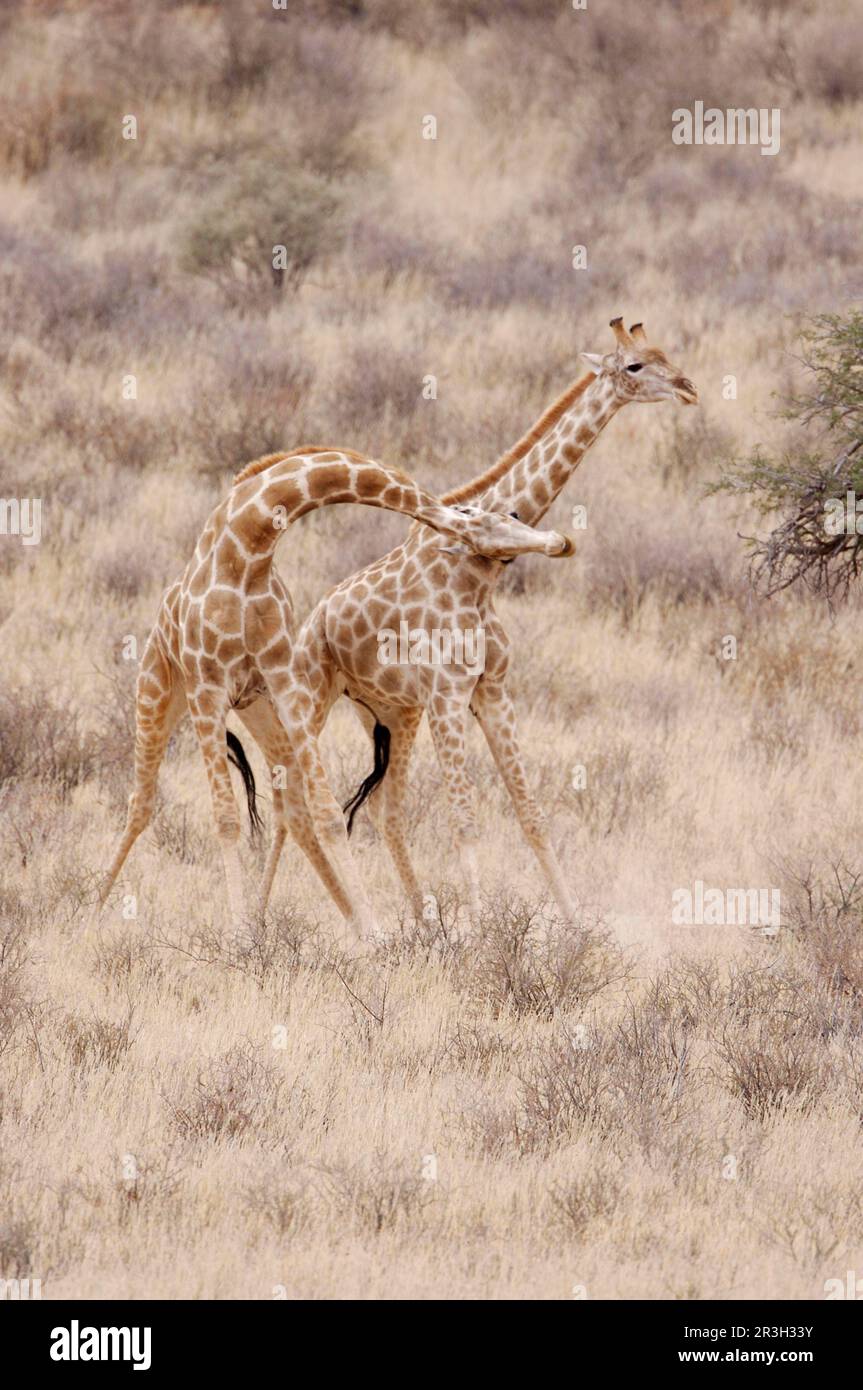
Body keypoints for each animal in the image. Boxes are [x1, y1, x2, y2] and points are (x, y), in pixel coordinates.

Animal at [100, 446, 575, 939]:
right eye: (480, 514)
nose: (557, 541)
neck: (247, 550)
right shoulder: (207, 689)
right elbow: (227, 818)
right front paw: (239, 934)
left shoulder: (283, 679)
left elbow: (328, 814)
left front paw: (372, 933)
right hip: (159, 696)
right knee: (141, 802)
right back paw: (89, 916)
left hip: (264, 713)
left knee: (294, 807)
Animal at [263, 320, 697, 925]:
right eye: (634, 366)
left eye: (665, 354)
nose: (687, 388)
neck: (477, 577)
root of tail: (311, 623)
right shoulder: (448, 693)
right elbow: (464, 824)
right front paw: (481, 930)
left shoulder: (490, 688)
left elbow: (531, 813)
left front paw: (575, 925)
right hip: (315, 697)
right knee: (290, 806)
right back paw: (260, 927)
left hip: (392, 714)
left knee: (383, 811)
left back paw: (424, 926)